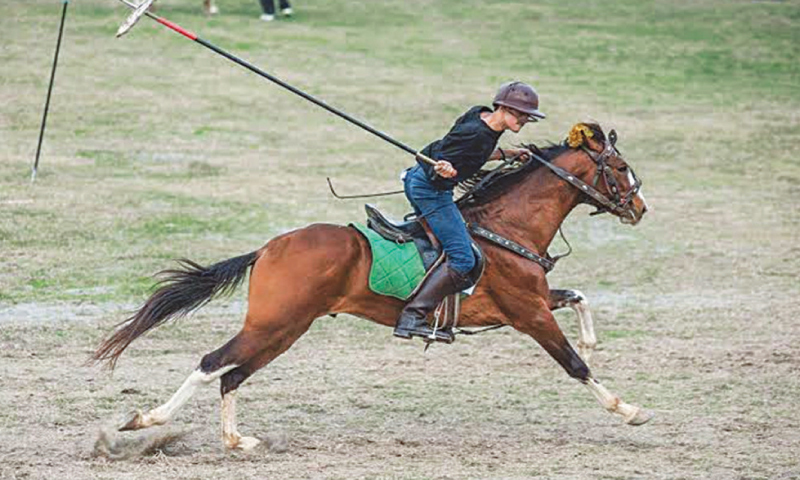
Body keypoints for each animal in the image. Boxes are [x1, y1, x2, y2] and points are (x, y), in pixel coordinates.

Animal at [92, 123, 652, 451]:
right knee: (213, 363)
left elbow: (578, 299)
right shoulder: (528, 314)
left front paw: (593, 340)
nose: (641, 209)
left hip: (287, 327)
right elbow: (574, 365)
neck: (506, 225)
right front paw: (629, 410)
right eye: (621, 168)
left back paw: (236, 440)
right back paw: (146, 419)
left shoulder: (527, 304)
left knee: (233, 375)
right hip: (274, 322)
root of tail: (270, 247)